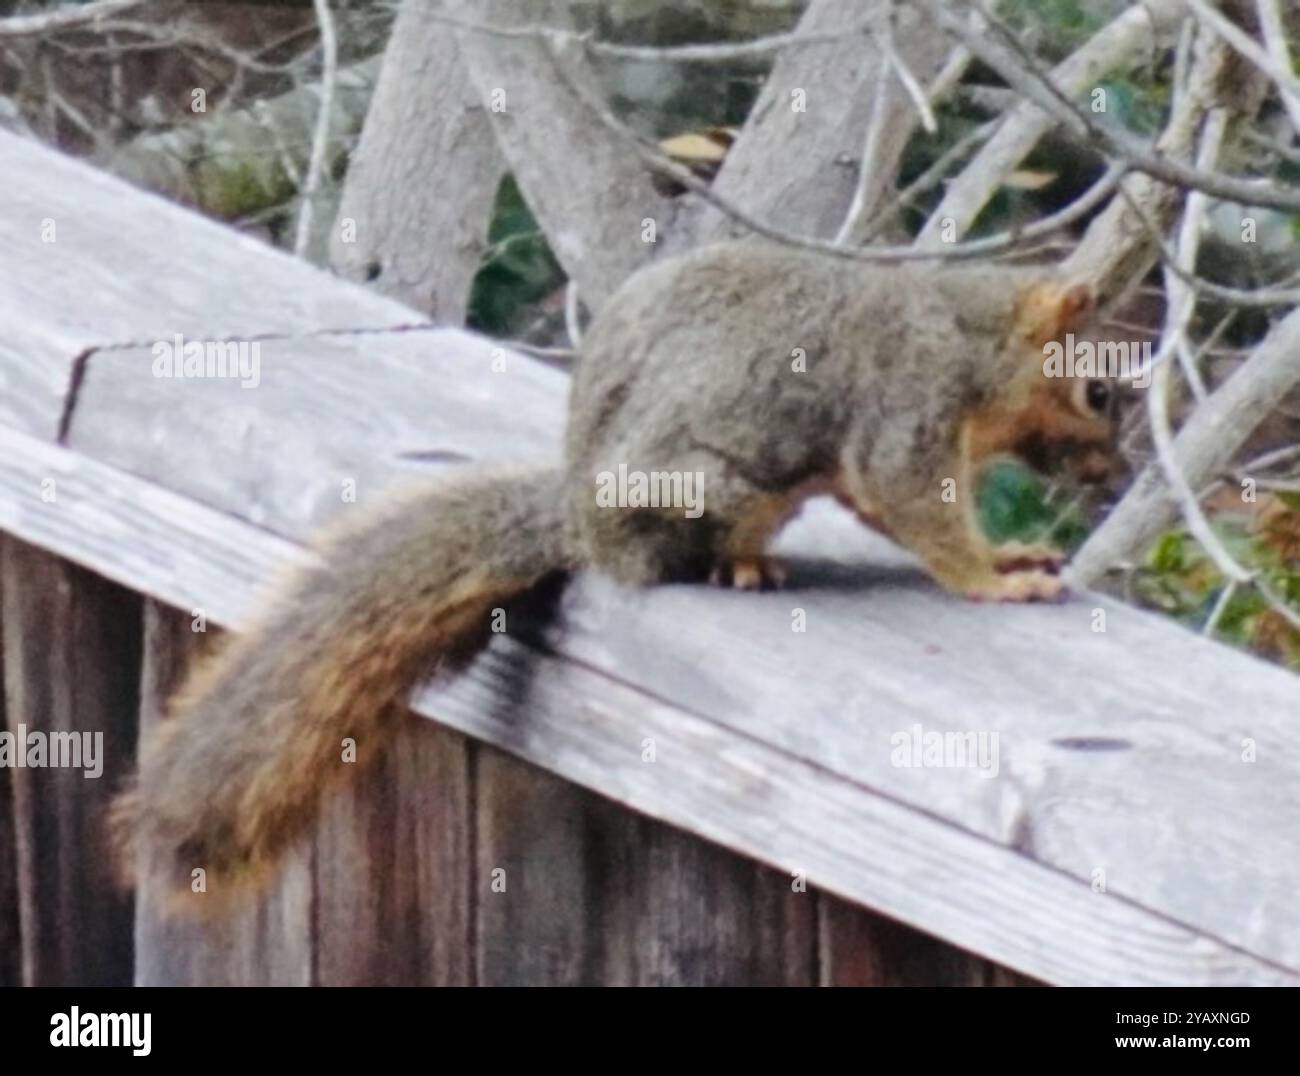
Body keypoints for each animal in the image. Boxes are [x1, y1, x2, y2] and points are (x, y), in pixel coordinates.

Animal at [110, 241, 1116, 910]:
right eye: (1097, 389)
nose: (1113, 468)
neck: (967, 331)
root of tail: (579, 520)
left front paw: (1014, 555)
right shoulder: (907, 411)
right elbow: (914, 507)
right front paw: (998, 578)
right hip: (709, 483)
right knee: (665, 556)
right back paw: (737, 566)